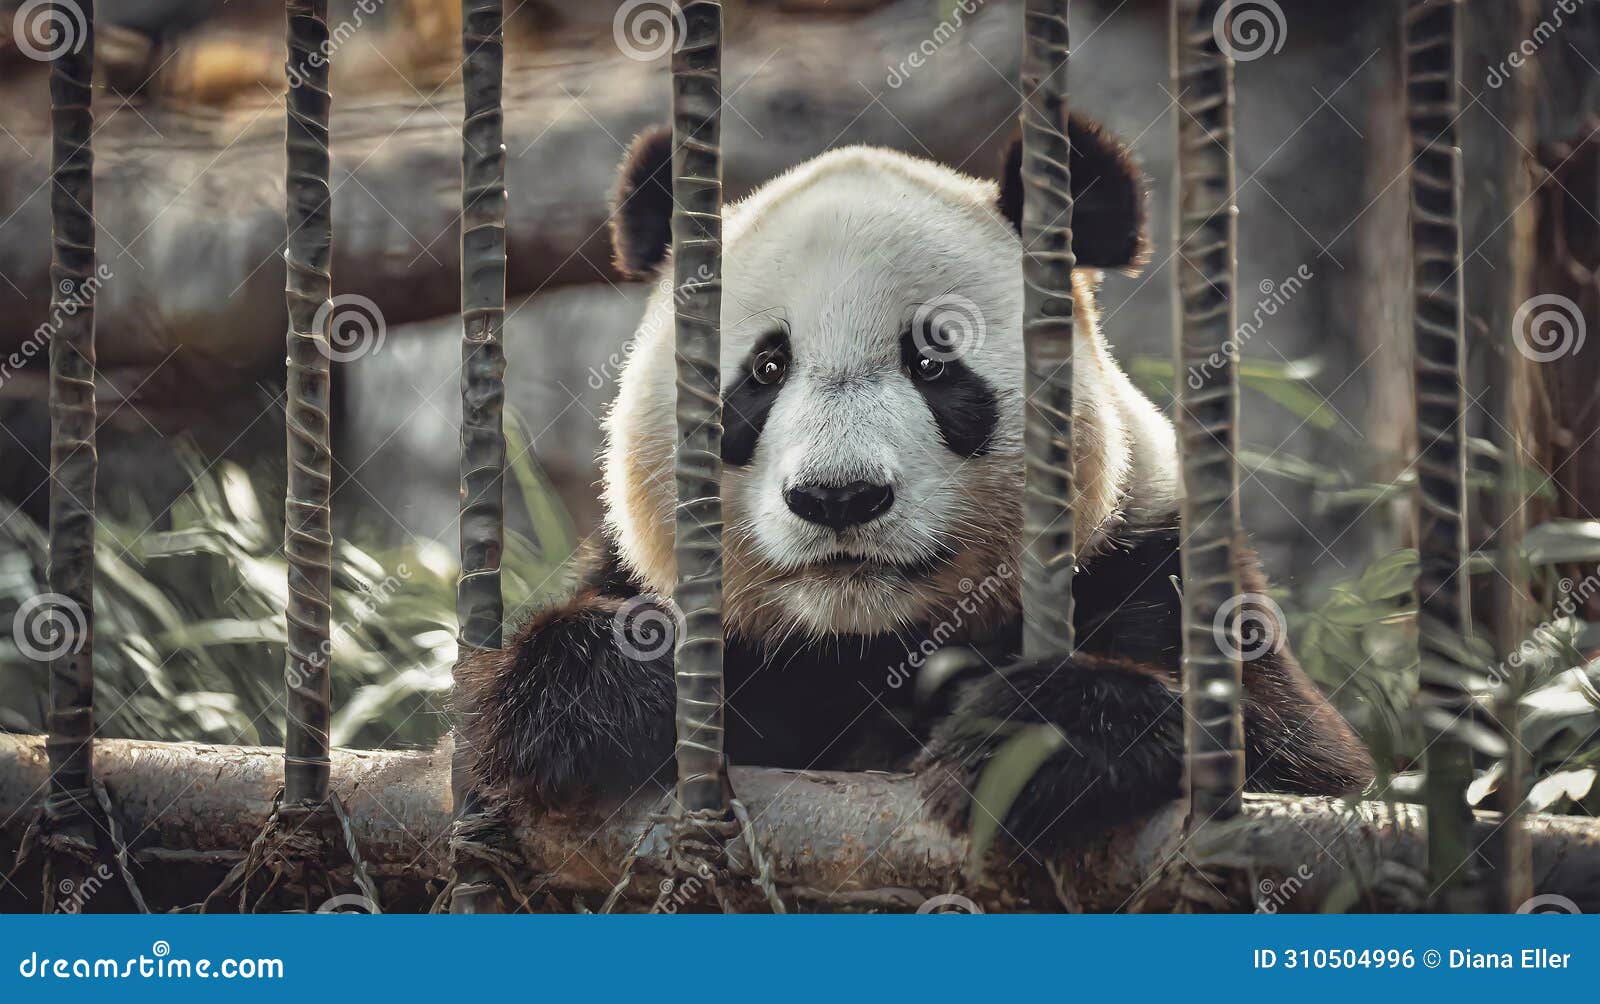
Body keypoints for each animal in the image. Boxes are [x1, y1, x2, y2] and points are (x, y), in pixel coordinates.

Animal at [459, 114, 1374, 853]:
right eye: (765, 370)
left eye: (934, 362)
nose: (839, 496)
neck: (865, 645)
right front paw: (616, 692)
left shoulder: (1153, 559)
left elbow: (1297, 769)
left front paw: (1024, 741)